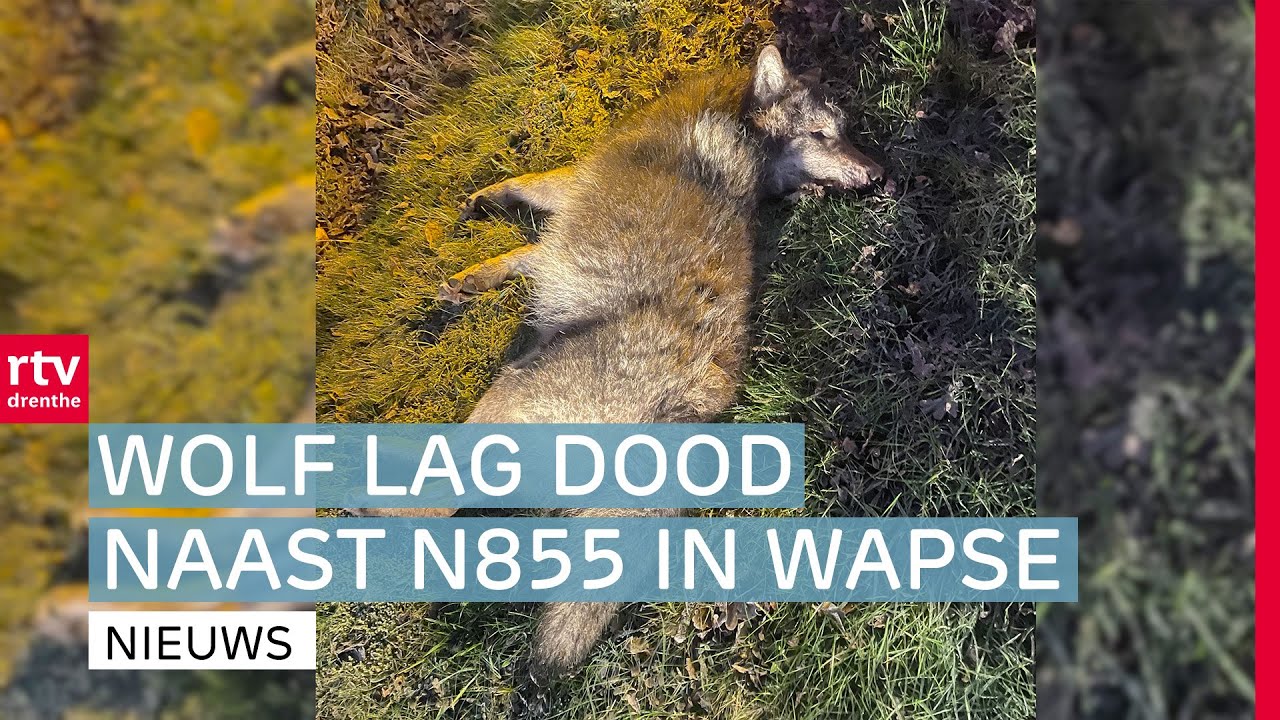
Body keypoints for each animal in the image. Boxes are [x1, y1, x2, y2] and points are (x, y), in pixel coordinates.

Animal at [362, 45, 881, 680]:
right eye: (828, 135)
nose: (879, 174)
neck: (744, 137)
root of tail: (682, 414)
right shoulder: (559, 236)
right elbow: (518, 254)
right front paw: (470, 278)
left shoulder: (569, 185)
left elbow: (522, 193)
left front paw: (484, 208)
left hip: (509, 394)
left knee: (435, 500)